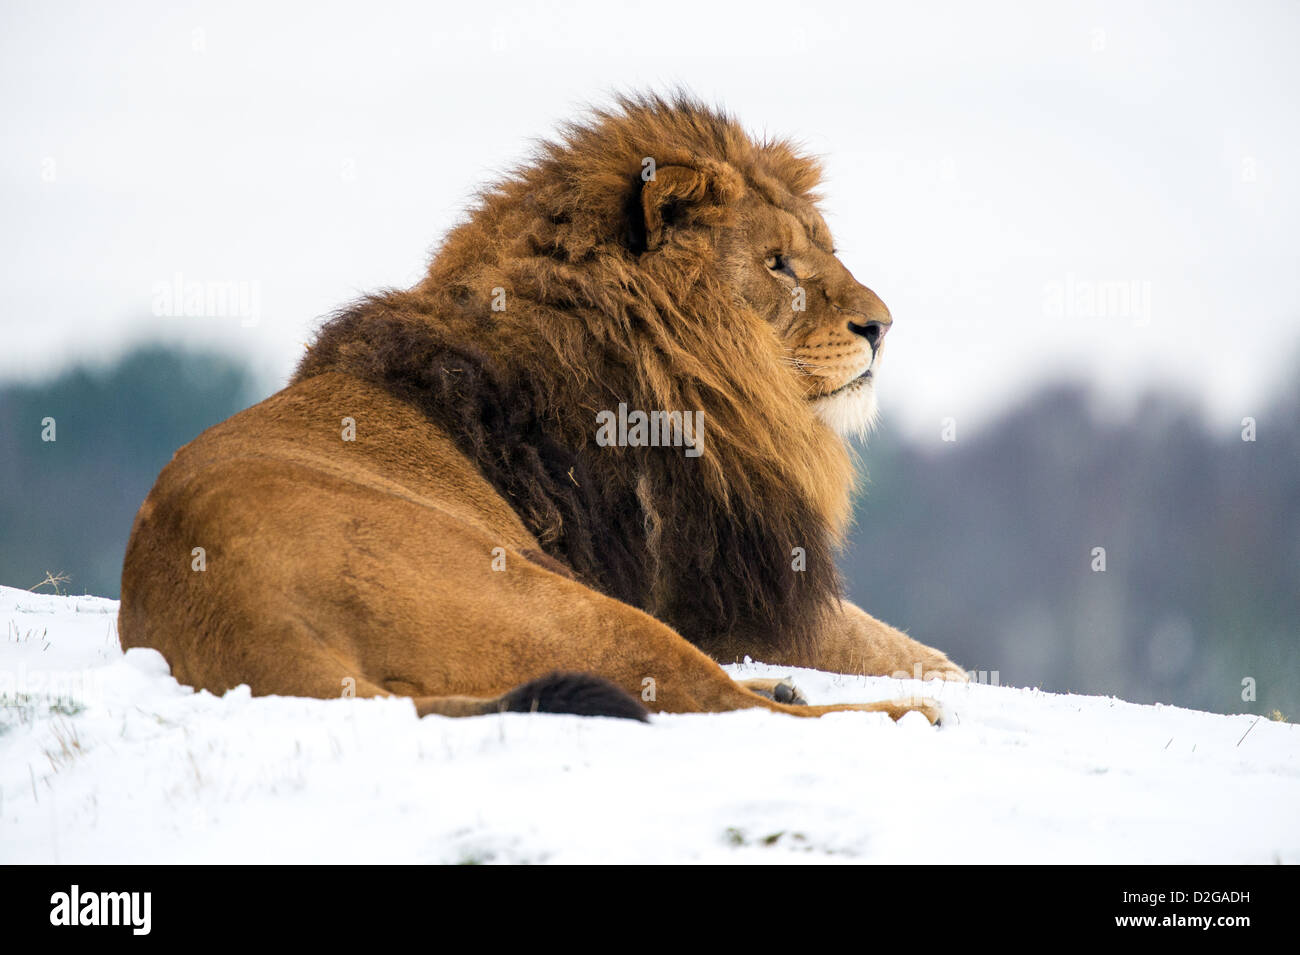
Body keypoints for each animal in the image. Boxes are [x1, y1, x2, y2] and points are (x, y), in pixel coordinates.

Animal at [118, 94, 967, 723]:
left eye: (823, 249)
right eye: (778, 262)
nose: (881, 326)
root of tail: (233, 613)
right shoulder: (700, 577)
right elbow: (875, 641)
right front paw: (934, 679)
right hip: (557, 598)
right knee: (726, 704)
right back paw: (896, 714)